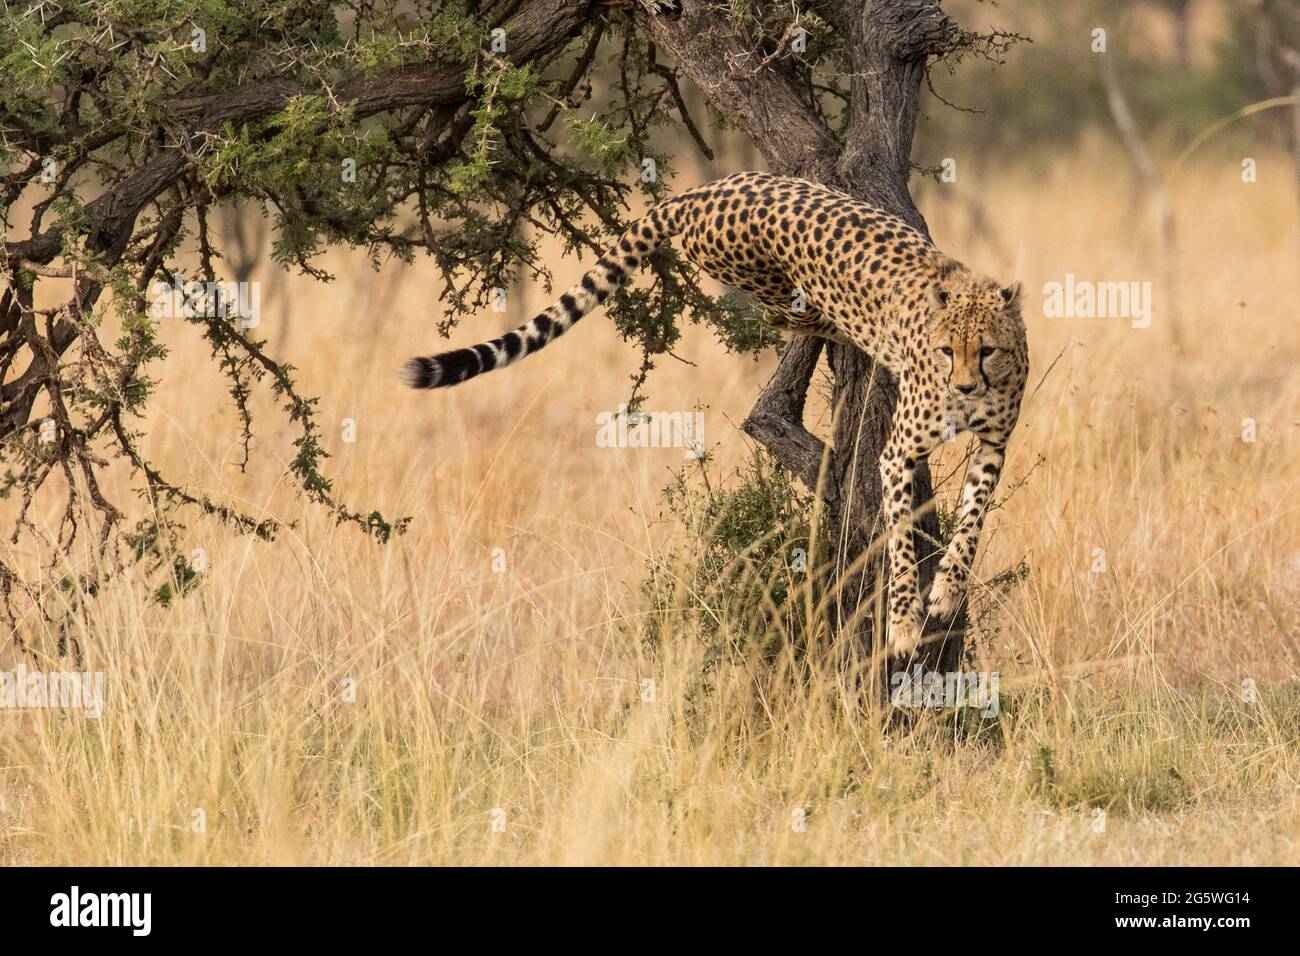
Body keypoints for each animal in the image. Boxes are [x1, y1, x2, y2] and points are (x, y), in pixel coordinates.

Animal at [401, 171, 1028, 656]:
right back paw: (835, 327)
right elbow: (898, 541)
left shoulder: (994, 444)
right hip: (769, 281)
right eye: (946, 350)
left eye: (986, 350)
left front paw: (947, 590)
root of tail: (701, 192)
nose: (964, 387)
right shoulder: (897, 452)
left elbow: (972, 522)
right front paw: (902, 621)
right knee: (787, 317)